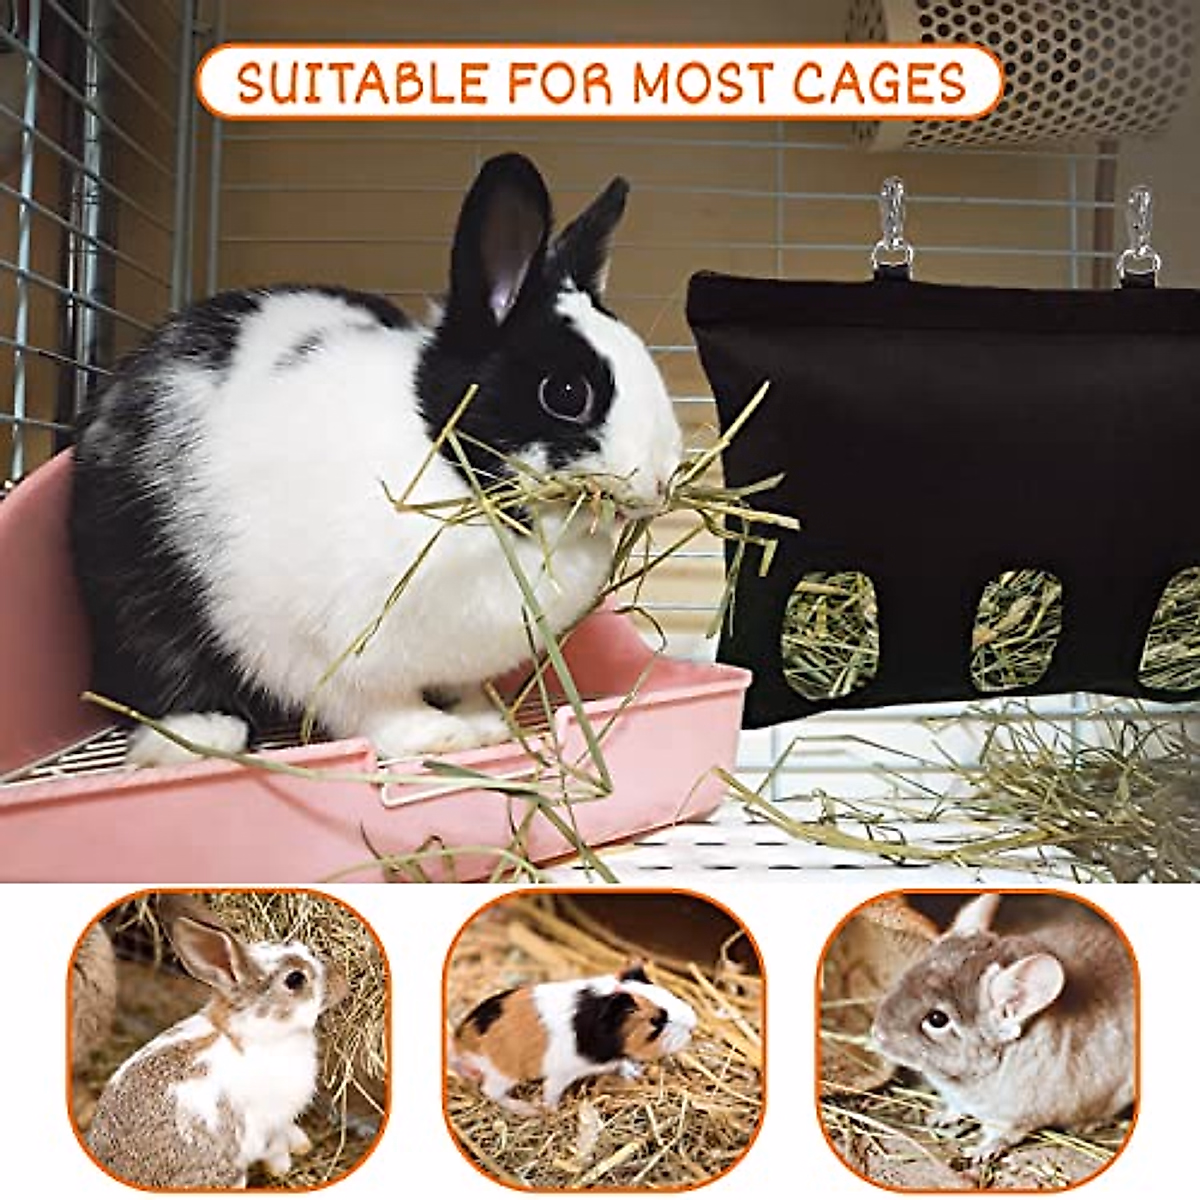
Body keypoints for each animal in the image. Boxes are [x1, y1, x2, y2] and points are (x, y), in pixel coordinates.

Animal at [69, 152, 683, 767]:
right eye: (566, 393)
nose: (659, 482)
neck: (449, 467)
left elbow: (460, 687)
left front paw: (483, 723)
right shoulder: (321, 652)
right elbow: (372, 707)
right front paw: (435, 736)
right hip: (139, 590)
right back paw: (195, 738)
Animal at [85, 897, 348, 1188]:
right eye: (295, 979)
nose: (344, 981)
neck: (257, 1034)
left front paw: (301, 1144)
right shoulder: (268, 1126)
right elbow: (275, 1150)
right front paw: (283, 1168)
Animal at [448, 961, 697, 1114]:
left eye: (667, 993)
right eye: (656, 1021)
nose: (694, 1025)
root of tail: (461, 1039)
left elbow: (621, 1063)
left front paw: (634, 1073)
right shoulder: (560, 1075)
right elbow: (551, 1093)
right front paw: (551, 1112)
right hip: (503, 1075)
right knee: (491, 1092)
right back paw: (526, 1110)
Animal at [869, 892, 1135, 1167]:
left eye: (936, 1019)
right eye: (904, 978)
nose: (876, 1035)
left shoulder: (1013, 1119)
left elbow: (1000, 1137)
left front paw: (978, 1152)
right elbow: (954, 1108)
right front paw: (938, 1117)